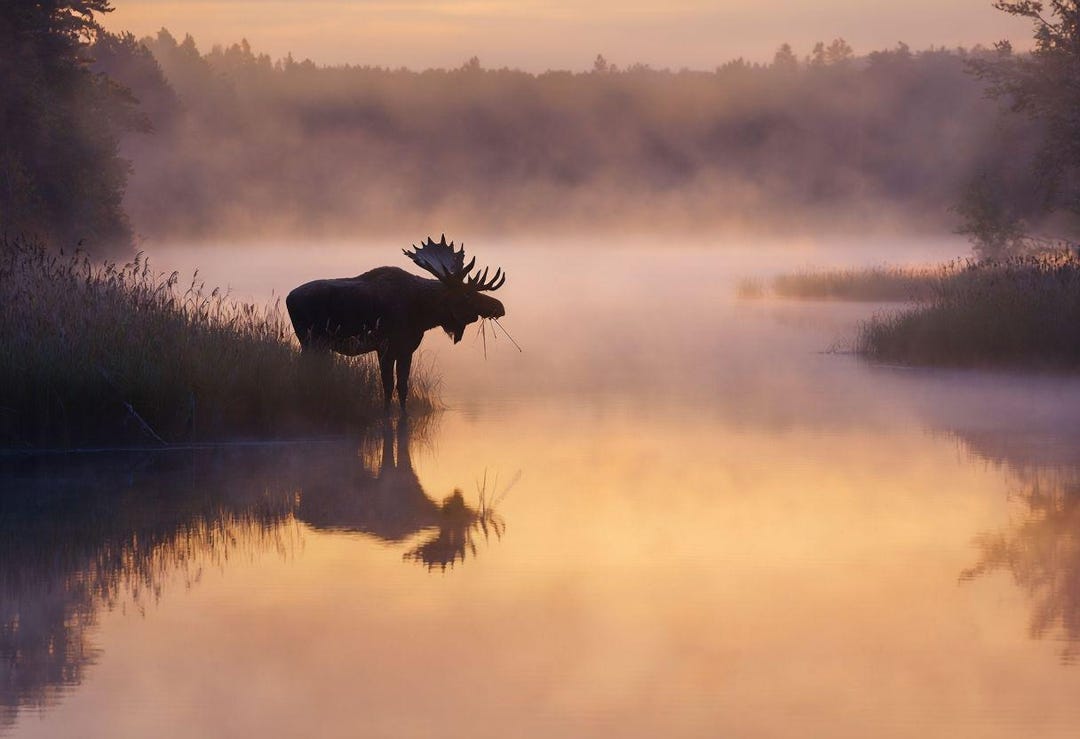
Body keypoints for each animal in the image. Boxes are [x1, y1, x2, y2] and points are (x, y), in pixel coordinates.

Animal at [285, 235, 506, 414]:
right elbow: (387, 386)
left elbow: (402, 387)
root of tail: (288, 298)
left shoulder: (406, 349)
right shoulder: (385, 347)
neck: (423, 313)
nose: (500, 307)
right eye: (468, 294)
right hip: (311, 342)